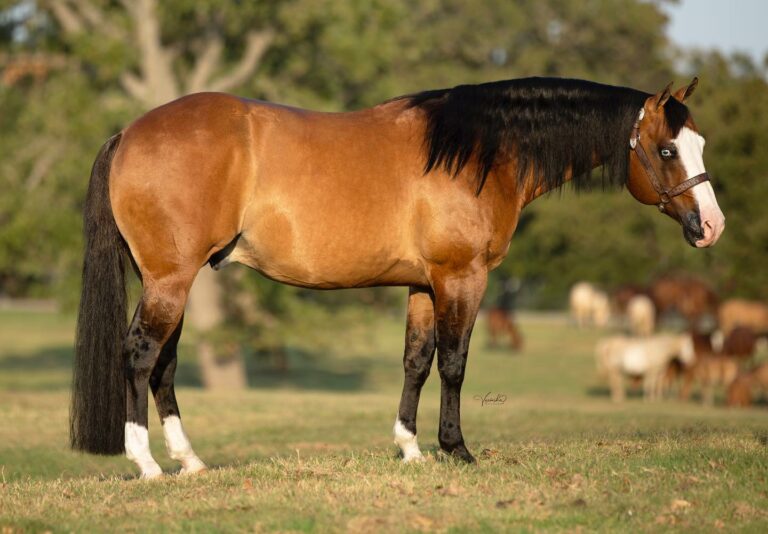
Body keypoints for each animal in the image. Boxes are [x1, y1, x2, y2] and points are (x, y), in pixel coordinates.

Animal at [69, 76, 724, 478]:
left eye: (701, 142)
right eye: (668, 150)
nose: (711, 226)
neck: (479, 151)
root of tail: (129, 133)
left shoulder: (423, 285)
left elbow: (417, 360)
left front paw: (410, 447)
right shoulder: (462, 278)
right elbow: (455, 363)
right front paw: (456, 448)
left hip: (173, 280)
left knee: (164, 363)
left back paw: (189, 460)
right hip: (169, 280)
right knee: (139, 355)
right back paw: (147, 465)